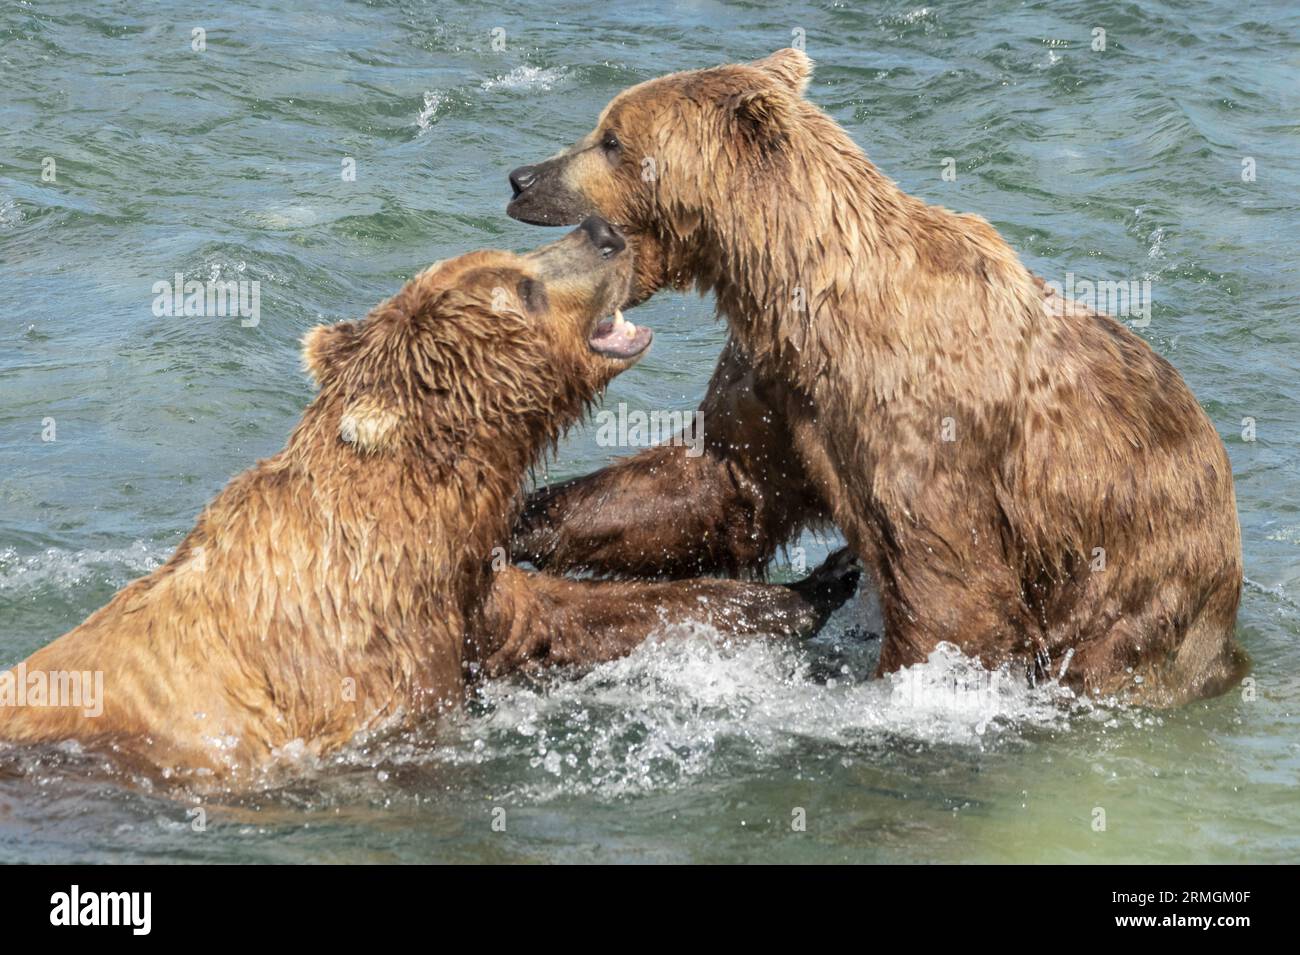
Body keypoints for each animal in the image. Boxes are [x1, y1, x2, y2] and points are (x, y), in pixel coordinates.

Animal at [0, 217, 859, 784]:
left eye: (511, 254)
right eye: (523, 285)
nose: (602, 231)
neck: (411, 537)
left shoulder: (468, 600)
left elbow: (584, 616)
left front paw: (813, 582)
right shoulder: (370, 682)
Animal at [503, 49, 1246, 706]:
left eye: (611, 139)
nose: (521, 177)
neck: (796, 294)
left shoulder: (921, 426)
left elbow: (952, 593)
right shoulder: (776, 382)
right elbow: (717, 482)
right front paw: (517, 517)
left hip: (1139, 576)